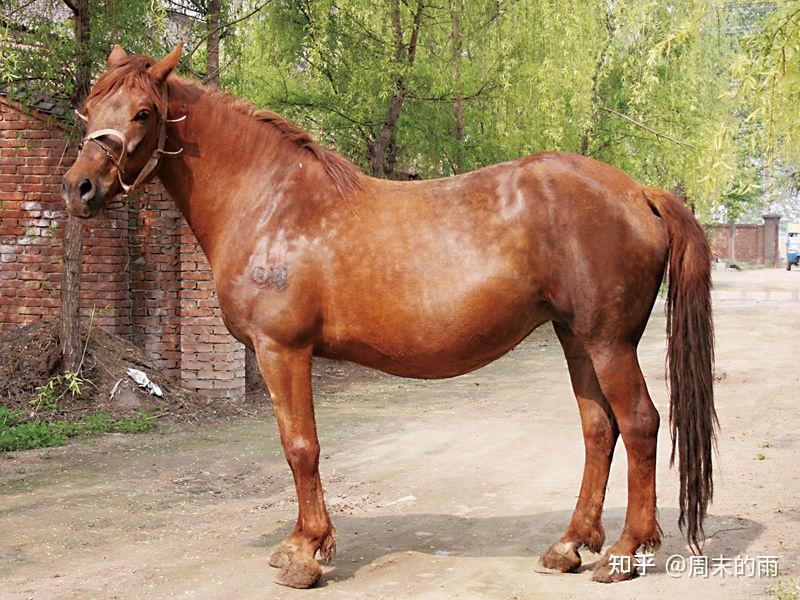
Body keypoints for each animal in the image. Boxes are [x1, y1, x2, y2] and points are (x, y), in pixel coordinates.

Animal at [61, 43, 716, 589]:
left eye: (144, 113)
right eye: (89, 106)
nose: (80, 188)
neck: (271, 202)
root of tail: (639, 192)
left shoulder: (281, 350)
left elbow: (300, 446)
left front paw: (306, 554)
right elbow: (296, 446)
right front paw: (299, 543)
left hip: (609, 342)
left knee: (639, 424)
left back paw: (625, 553)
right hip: (575, 337)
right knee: (598, 429)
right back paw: (570, 546)